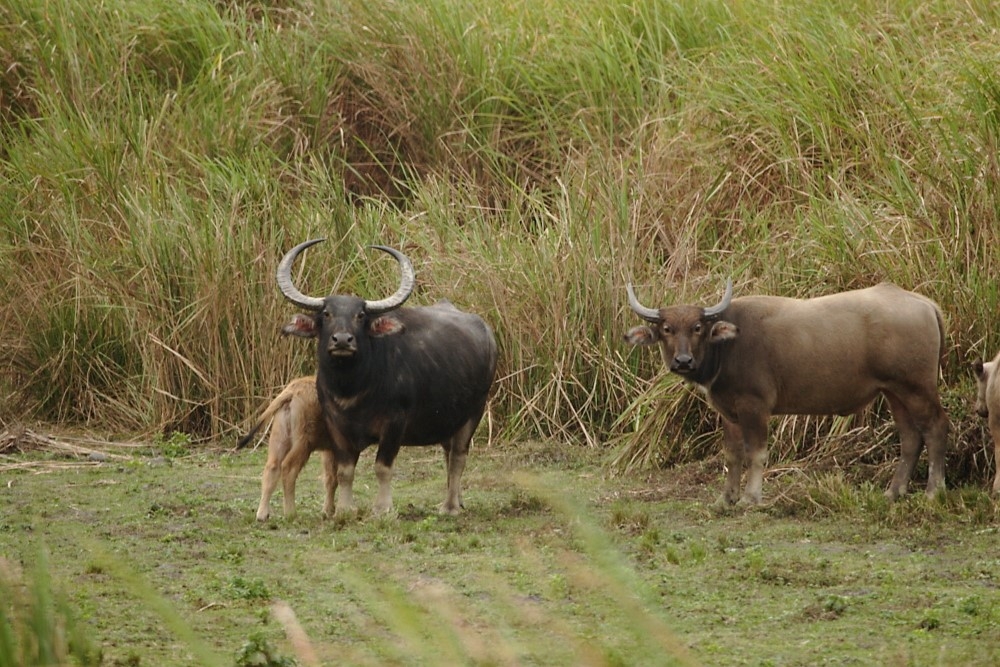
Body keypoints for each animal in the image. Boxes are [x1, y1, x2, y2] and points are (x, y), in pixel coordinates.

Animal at [276, 238, 498, 516]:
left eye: (360, 315)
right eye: (326, 314)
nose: (342, 340)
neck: (354, 388)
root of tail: (487, 334)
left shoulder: (395, 424)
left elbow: (382, 467)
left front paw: (382, 508)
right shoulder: (336, 425)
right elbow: (345, 471)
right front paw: (345, 509)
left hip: (474, 411)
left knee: (458, 456)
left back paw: (449, 507)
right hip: (450, 417)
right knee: (448, 454)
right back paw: (456, 500)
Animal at [625, 280, 949, 507]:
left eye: (696, 327)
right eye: (667, 328)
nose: (683, 361)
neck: (726, 347)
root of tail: (924, 303)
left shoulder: (754, 407)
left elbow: (756, 453)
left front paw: (750, 498)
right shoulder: (729, 412)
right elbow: (732, 454)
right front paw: (726, 498)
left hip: (917, 388)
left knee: (935, 429)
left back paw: (933, 492)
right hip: (894, 392)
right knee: (910, 437)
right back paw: (893, 492)